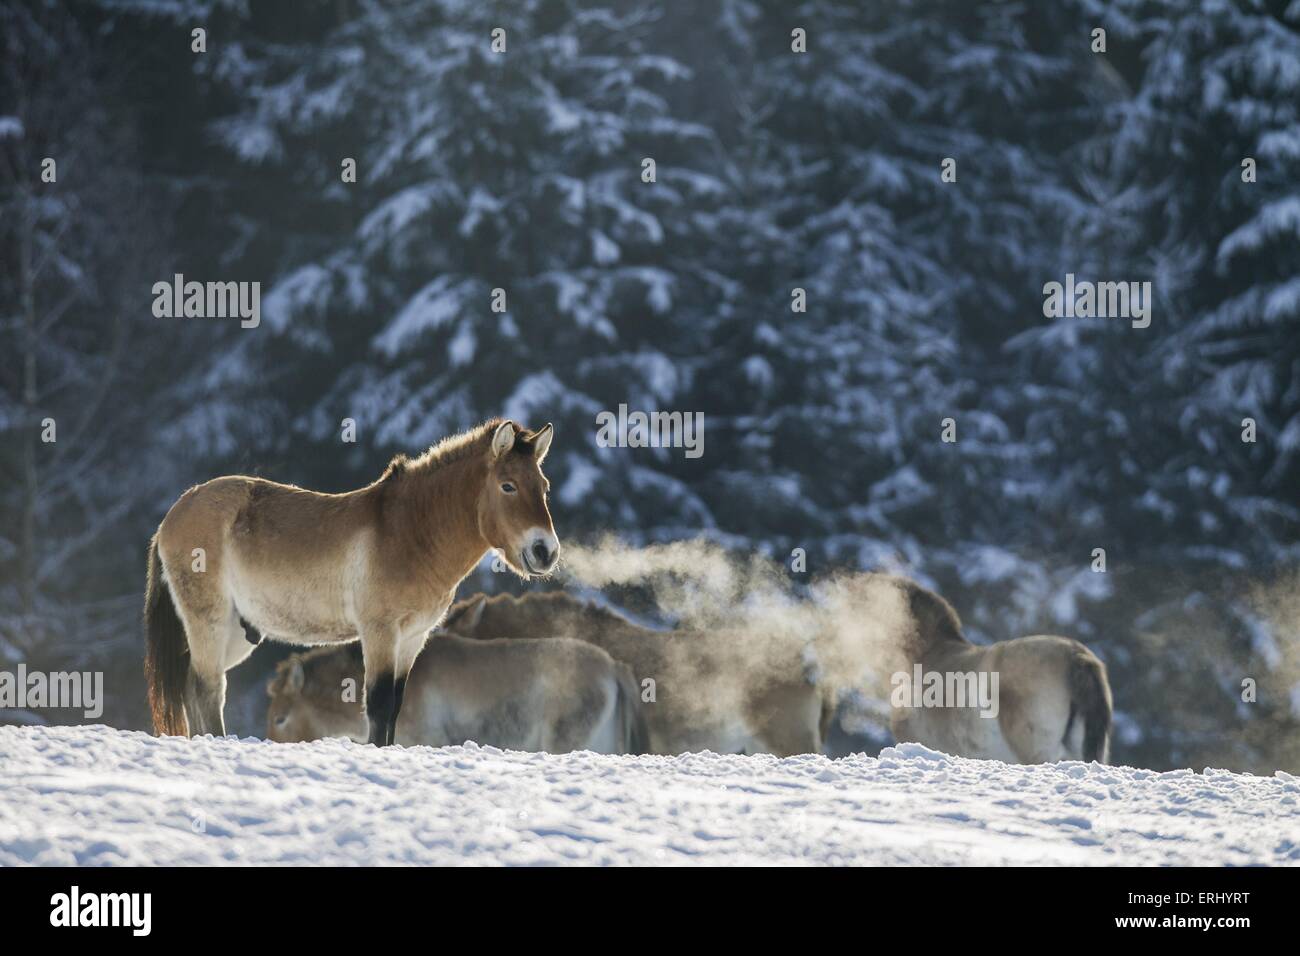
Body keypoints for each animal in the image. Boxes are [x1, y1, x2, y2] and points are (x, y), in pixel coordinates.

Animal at [143, 418, 559, 746]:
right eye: (508, 486)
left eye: (543, 486)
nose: (545, 552)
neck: (410, 534)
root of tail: (173, 516)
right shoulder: (379, 632)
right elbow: (377, 705)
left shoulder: (412, 638)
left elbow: (394, 706)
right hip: (208, 621)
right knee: (207, 690)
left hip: (235, 633)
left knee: (193, 687)